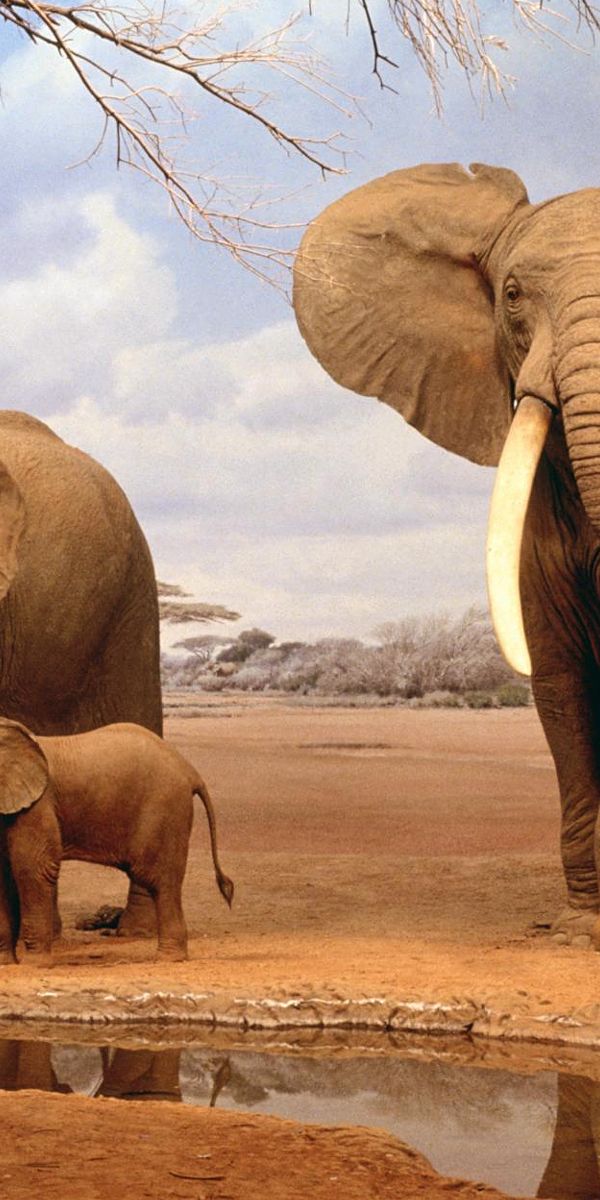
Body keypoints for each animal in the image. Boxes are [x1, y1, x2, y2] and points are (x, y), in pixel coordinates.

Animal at [0, 717, 233, 963]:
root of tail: (190, 771)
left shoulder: (38, 805)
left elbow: (34, 868)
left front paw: (35, 965)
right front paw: (6, 963)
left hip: (165, 809)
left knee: (161, 881)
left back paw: (168, 958)